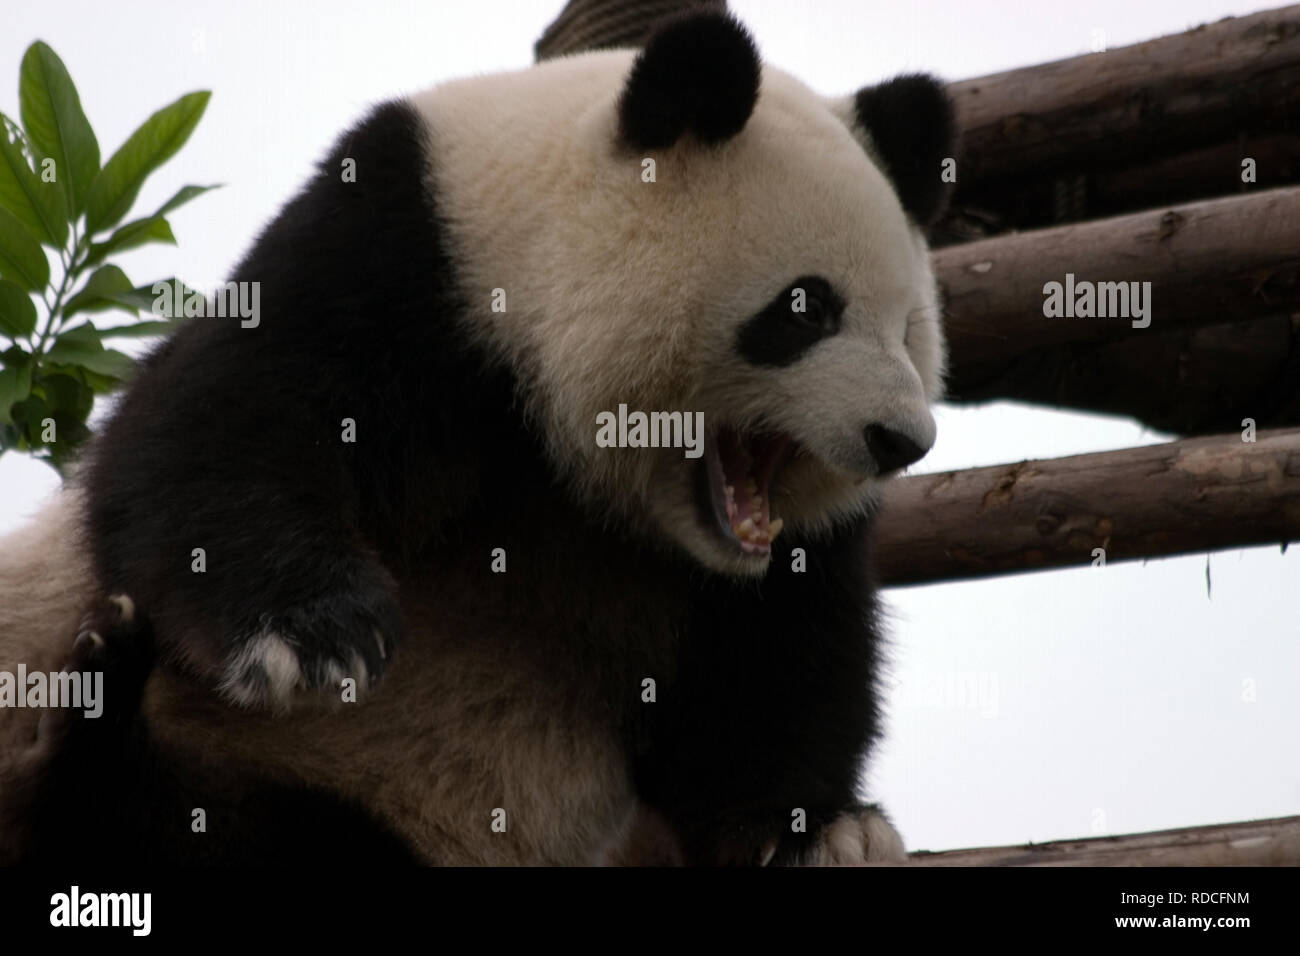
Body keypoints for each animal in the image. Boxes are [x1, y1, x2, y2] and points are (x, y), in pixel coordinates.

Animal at [0, 11, 954, 865]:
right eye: (806, 308)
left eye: (908, 329)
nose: (899, 441)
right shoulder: (405, 248)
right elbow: (220, 420)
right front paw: (317, 635)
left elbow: (790, 639)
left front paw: (818, 830)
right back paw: (100, 708)